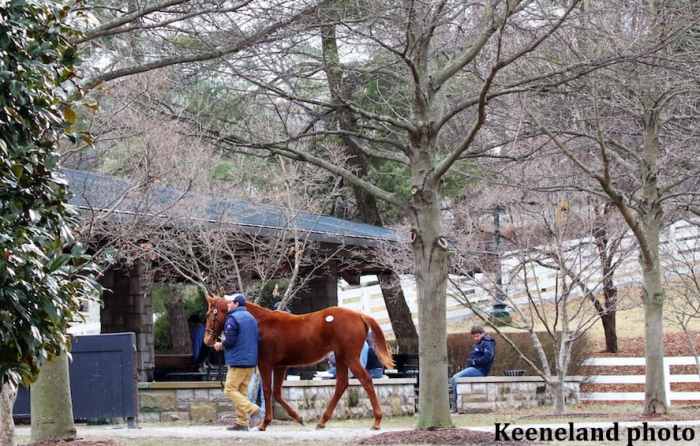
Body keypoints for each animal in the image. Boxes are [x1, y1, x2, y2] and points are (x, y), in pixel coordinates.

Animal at [203, 295, 395, 430]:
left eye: (211, 314)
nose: (207, 340)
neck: (261, 324)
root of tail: (360, 315)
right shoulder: (281, 366)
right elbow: (277, 393)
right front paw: (298, 418)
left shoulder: (265, 364)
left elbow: (267, 391)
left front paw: (264, 424)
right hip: (341, 357)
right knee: (341, 384)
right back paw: (322, 421)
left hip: (350, 357)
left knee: (366, 380)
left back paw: (377, 421)